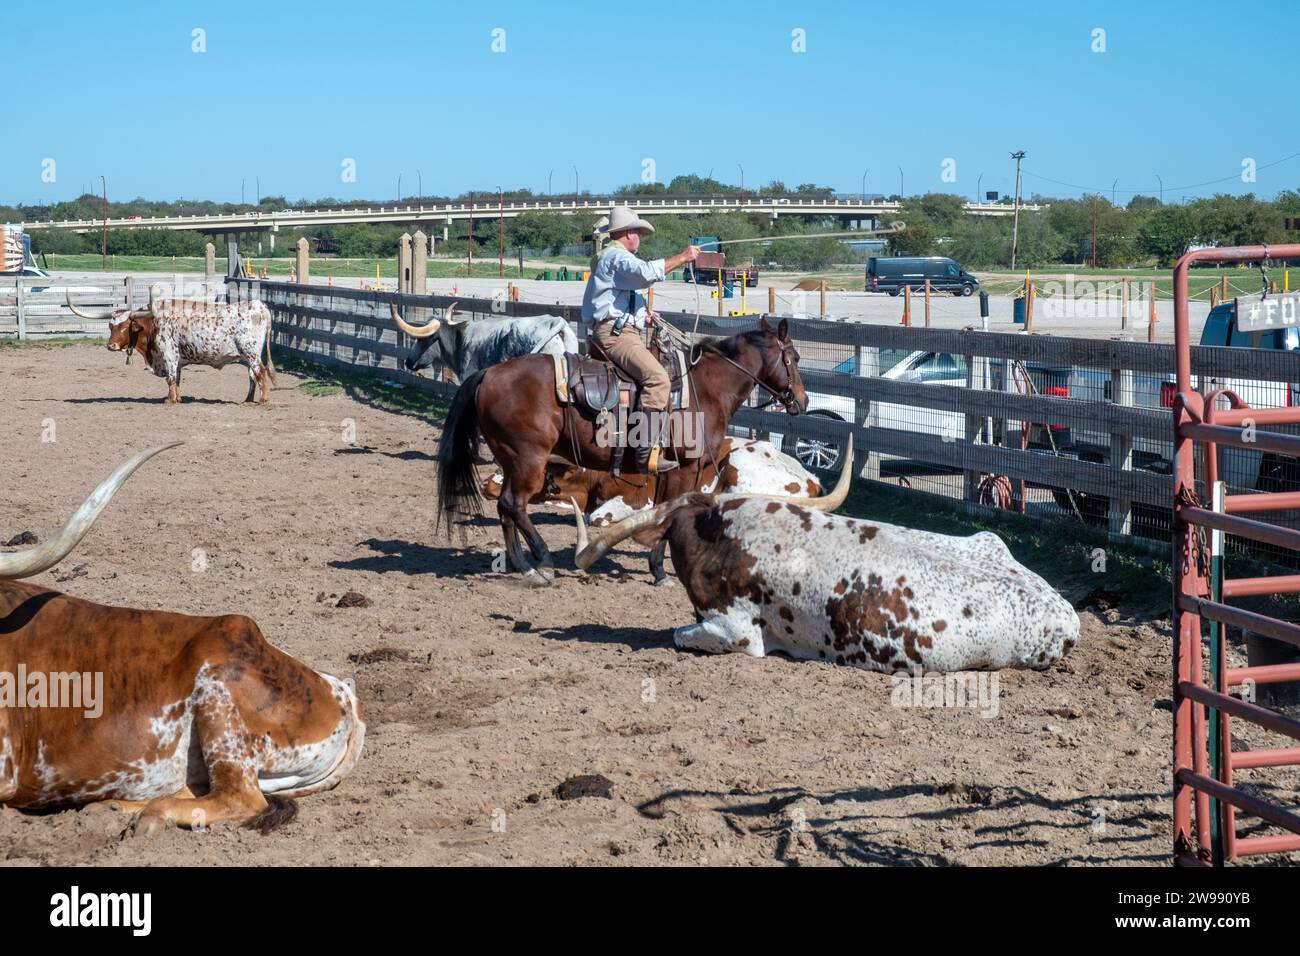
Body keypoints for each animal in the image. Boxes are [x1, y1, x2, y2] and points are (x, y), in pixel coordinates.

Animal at [67, 291, 276, 404]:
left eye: (126, 326)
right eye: (111, 326)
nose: (111, 345)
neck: (153, 324)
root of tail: (260, 306)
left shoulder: (168, 355)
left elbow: (169, 378)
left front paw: (170, 400)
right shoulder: (177, 360)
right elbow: (176, 378)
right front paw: (177, 397)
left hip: (251, 353)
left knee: (260, 373)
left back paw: (263, 400)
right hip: (248, 356)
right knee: (252, 376)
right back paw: (248, 399)